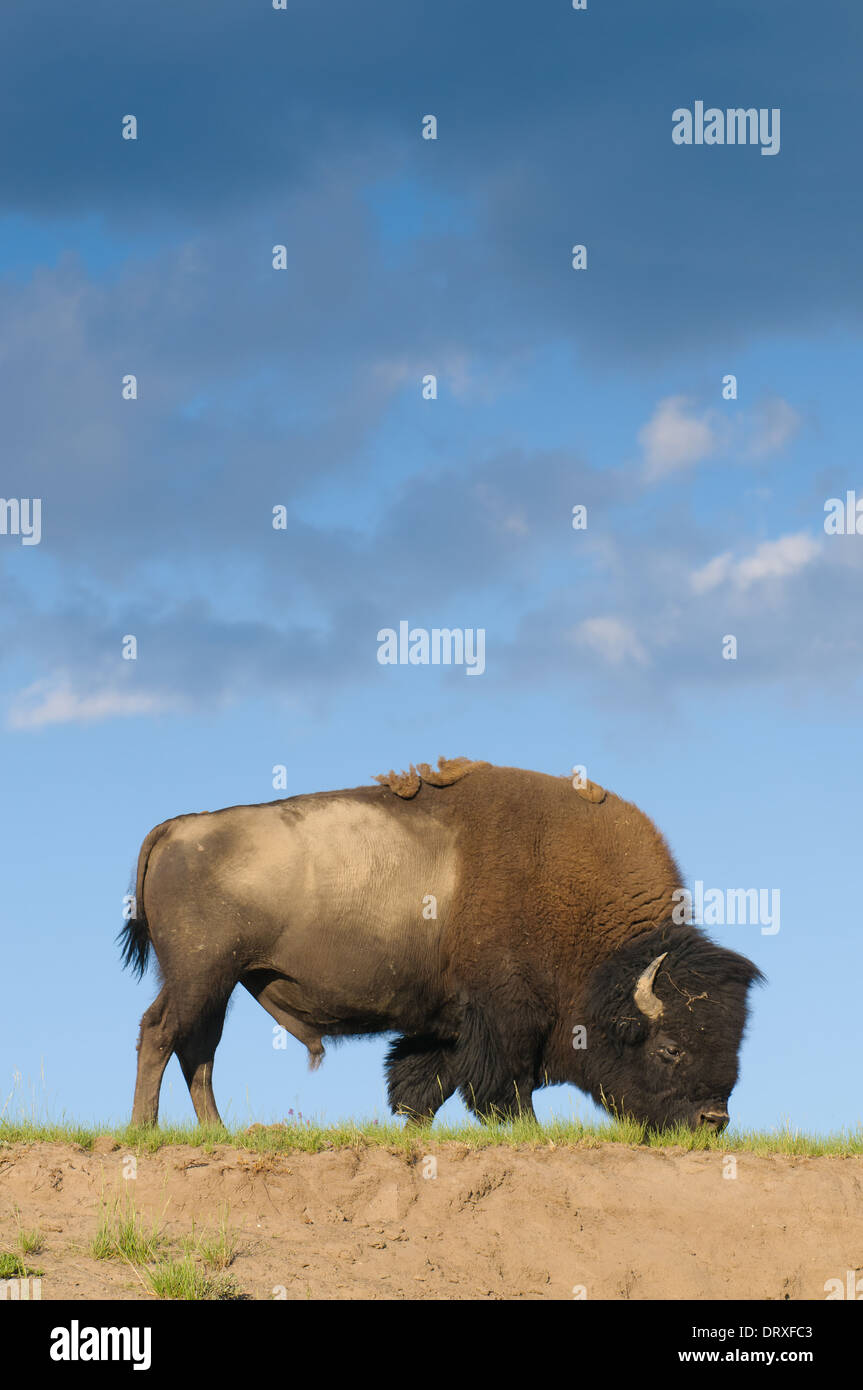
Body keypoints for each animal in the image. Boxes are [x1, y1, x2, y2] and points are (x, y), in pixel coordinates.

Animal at [120, 758, 763, 1130]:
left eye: (735, 1040)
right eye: (670, 1048)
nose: (713, 1120)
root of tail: (178, 827)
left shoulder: (448, 1024)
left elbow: (421, 1085)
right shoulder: (505, 1019)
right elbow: (506, 1088)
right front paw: (528, 1131)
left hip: (219, 983)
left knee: (196, 1049)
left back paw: (215, 1133)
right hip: (201, 976)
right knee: (162, 1034)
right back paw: (145, 1131)